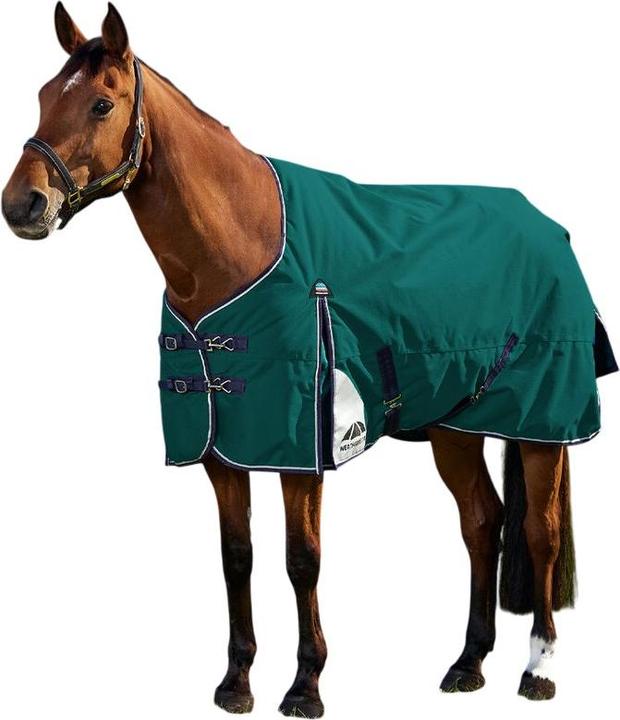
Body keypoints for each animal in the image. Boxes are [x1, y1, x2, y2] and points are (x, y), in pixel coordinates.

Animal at [2, 3, 613, 715]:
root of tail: (551, 229)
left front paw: (305, 685)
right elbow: (236, 556)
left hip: (542, 423)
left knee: (539, 533)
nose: (22, 205)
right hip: (454, 427)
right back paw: (468, 663)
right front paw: (236, 682)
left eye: (101, 104)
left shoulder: (302, 452)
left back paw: (538, 669)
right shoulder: (223, 452)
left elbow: (302, 560)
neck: (242, 246)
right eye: (43, 96)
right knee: (482, 522)